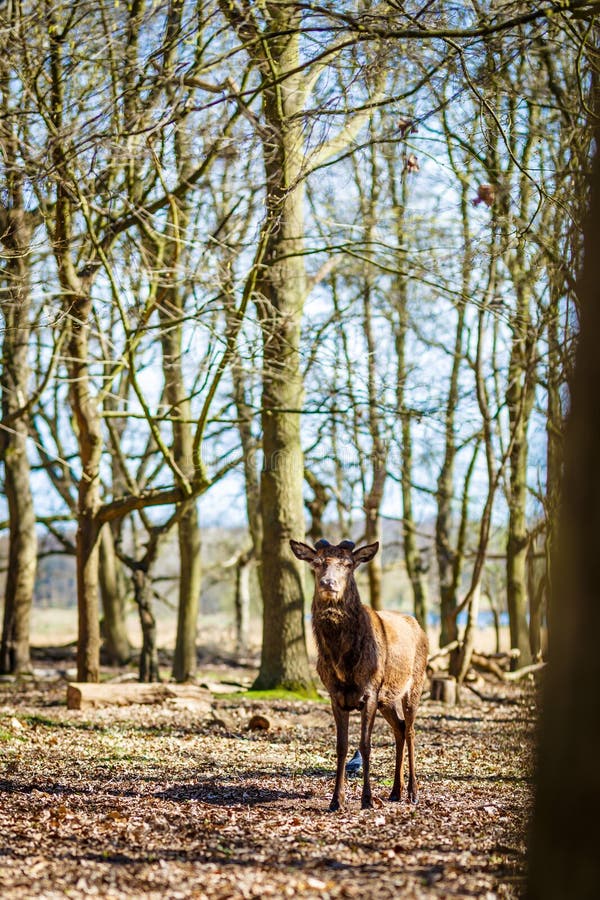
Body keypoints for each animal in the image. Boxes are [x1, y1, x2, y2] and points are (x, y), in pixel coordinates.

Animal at [290, 537, 429, 812]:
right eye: (317, 563)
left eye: (348, 564)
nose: (328, 583)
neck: (345, 664)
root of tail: (420, 628)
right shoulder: (334, 695)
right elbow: (342, 746)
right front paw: (337, 800)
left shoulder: (370, 692)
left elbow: (365, 745)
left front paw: (366, 799)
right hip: (388, 699)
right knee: (399, 728)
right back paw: (395, 792)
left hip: (415, 684)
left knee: (410, 730)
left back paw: (413, 792)